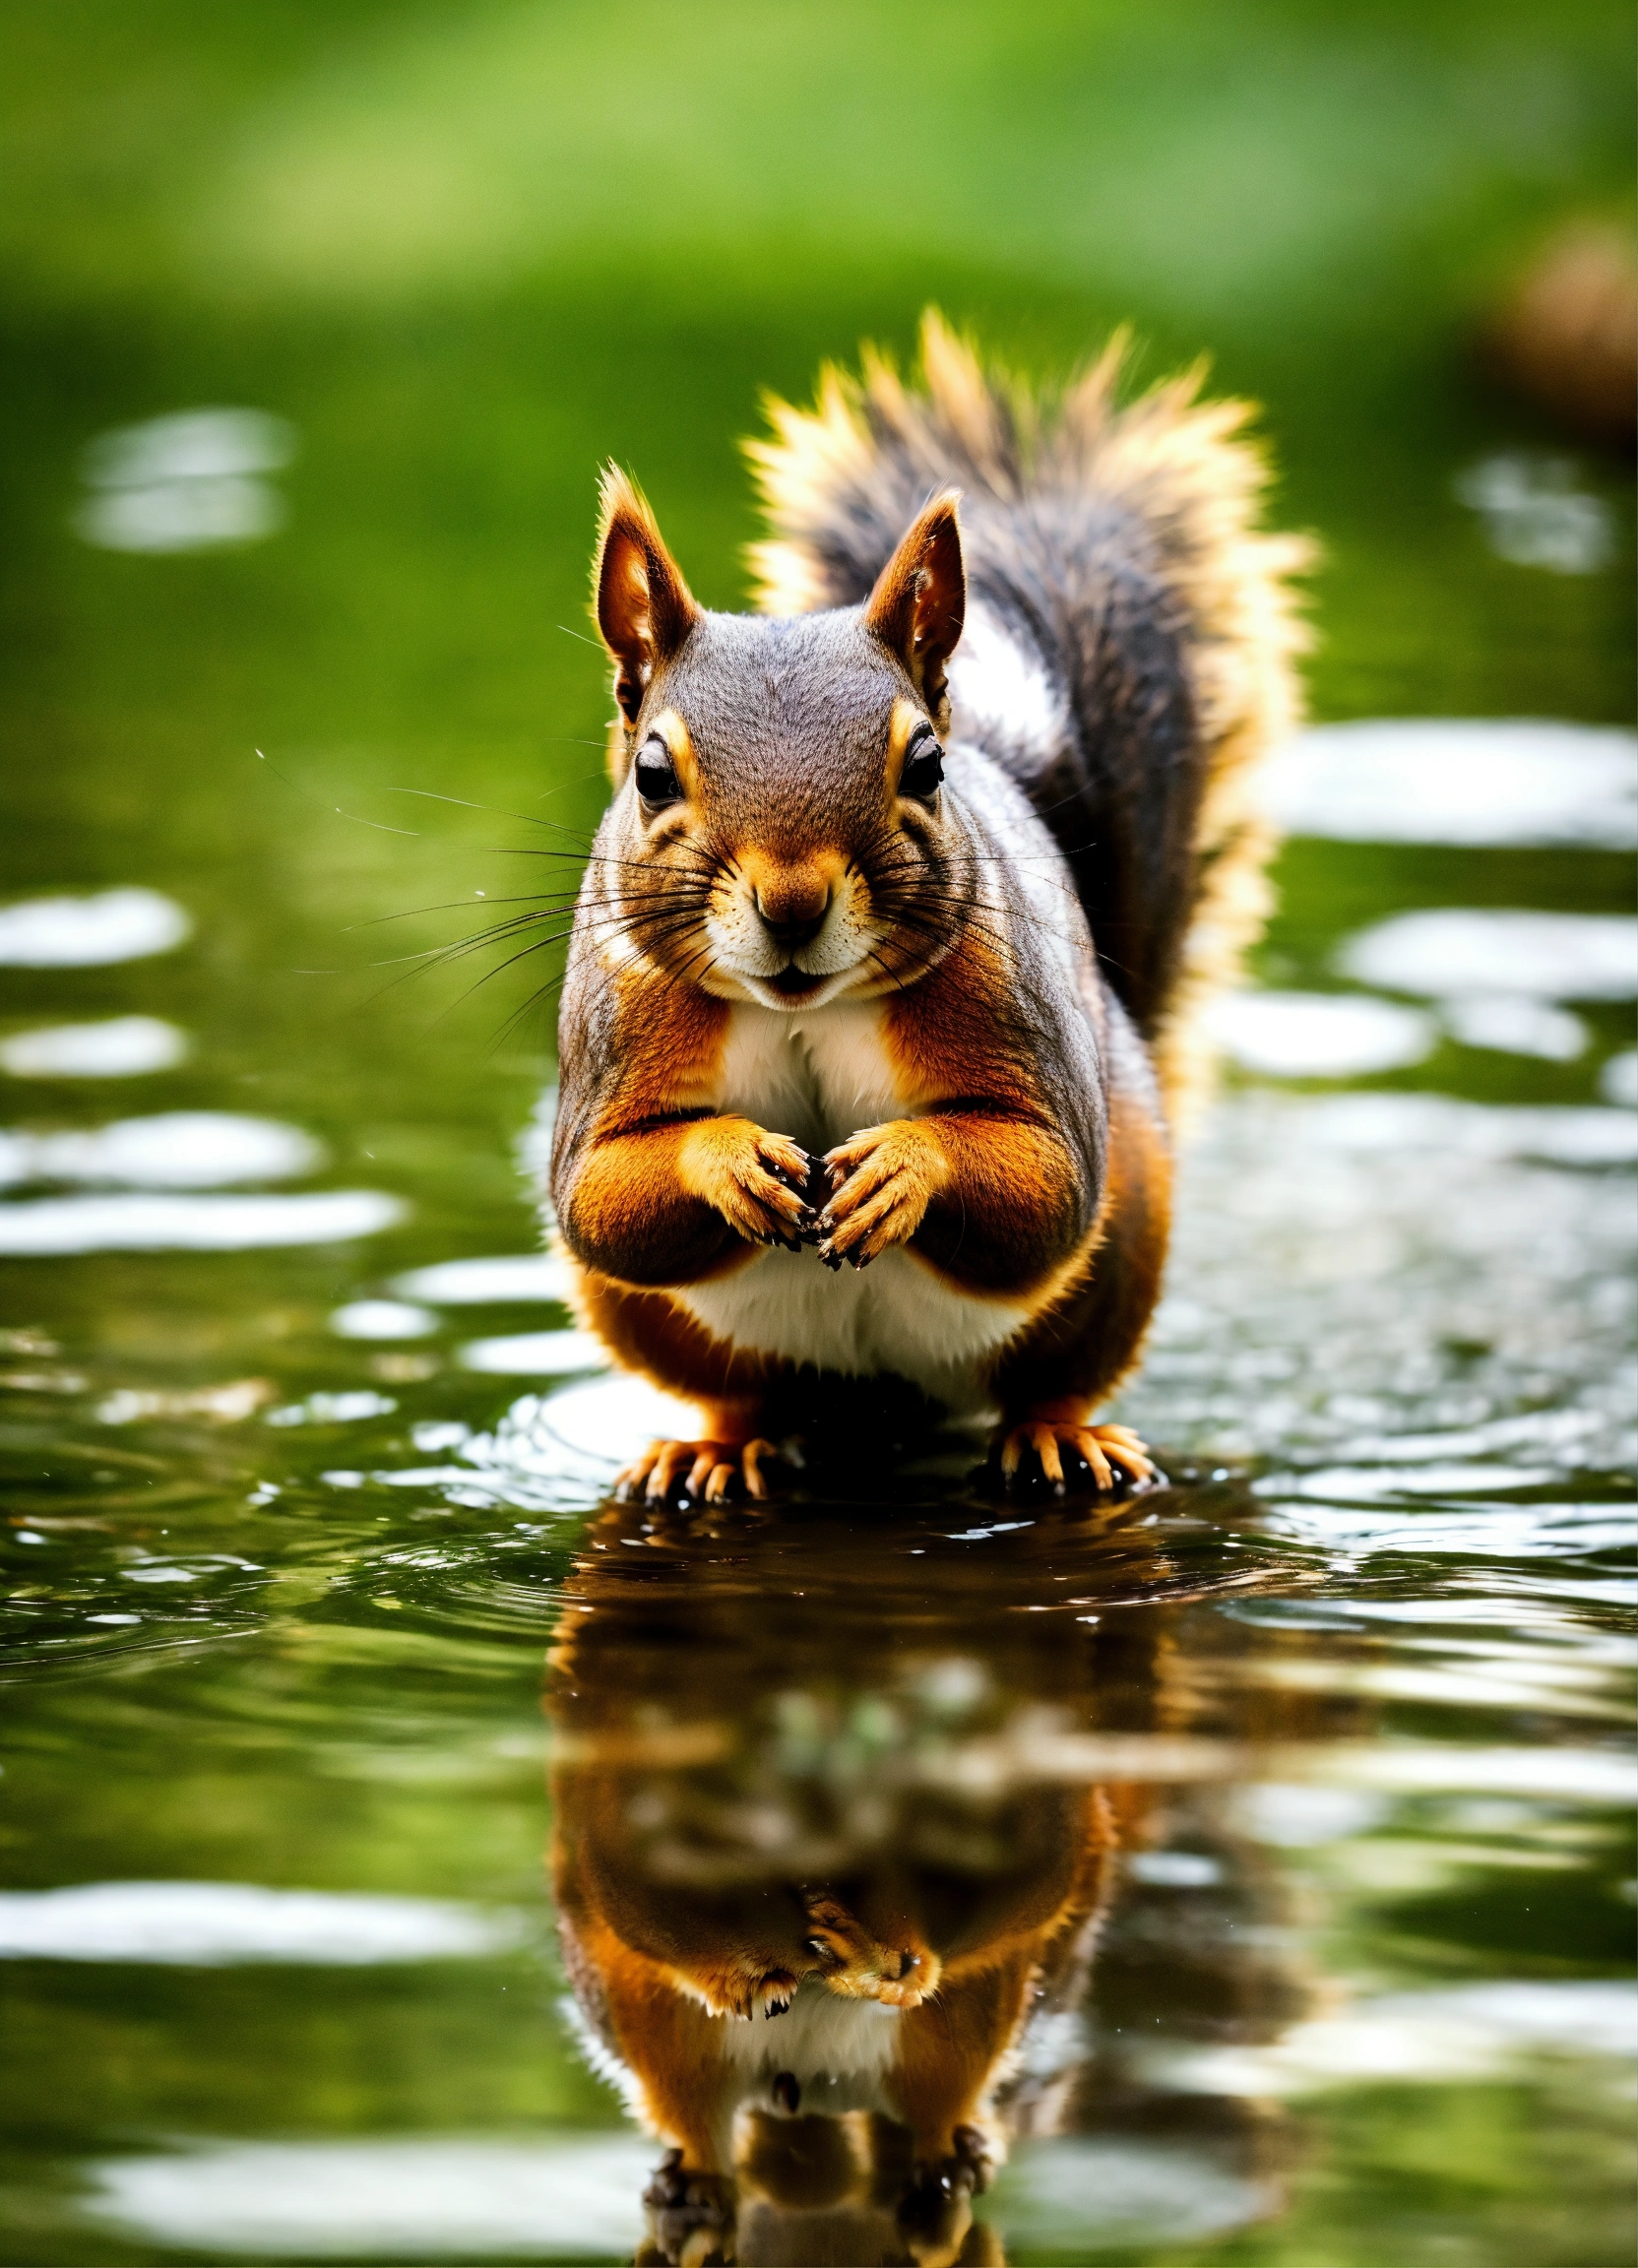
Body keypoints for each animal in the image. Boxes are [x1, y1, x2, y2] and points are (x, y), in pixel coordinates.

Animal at [549, 313, 1308, 1501]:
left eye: (925, 766)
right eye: (653, 776)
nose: (792, 905)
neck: (805, 1009)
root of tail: (880, 1409)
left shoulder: (1018, 1023)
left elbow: (1044, 1179)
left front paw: (905, 1166)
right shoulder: (610, 1042)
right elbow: (599, 1192)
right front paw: (729, 1161)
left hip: (1120, 1257)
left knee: (1050, 1372)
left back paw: (1060, 1436)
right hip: (669, 1335)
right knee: (740, 1393)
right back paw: (709, 1446)